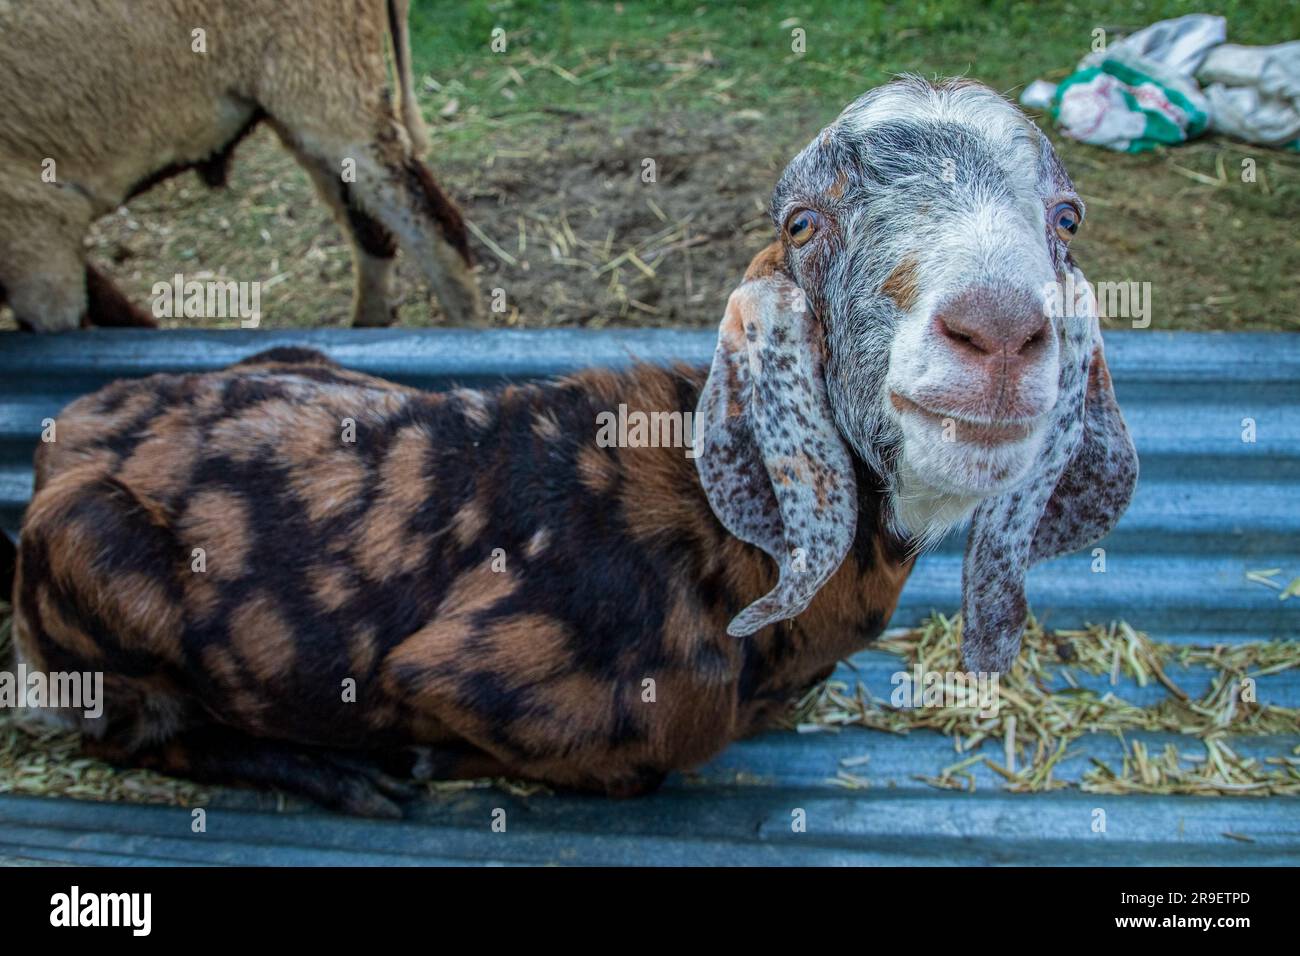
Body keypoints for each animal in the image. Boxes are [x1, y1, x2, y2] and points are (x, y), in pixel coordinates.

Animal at [10, 78, 1137, 815]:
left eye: (1066, 218)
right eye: (804, 225)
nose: (996, 329)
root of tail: (66, 436)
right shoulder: (468, 673)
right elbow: (635, 763)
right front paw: (425, 764)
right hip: (88, 557)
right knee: (138, 734)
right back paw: (346, 778)